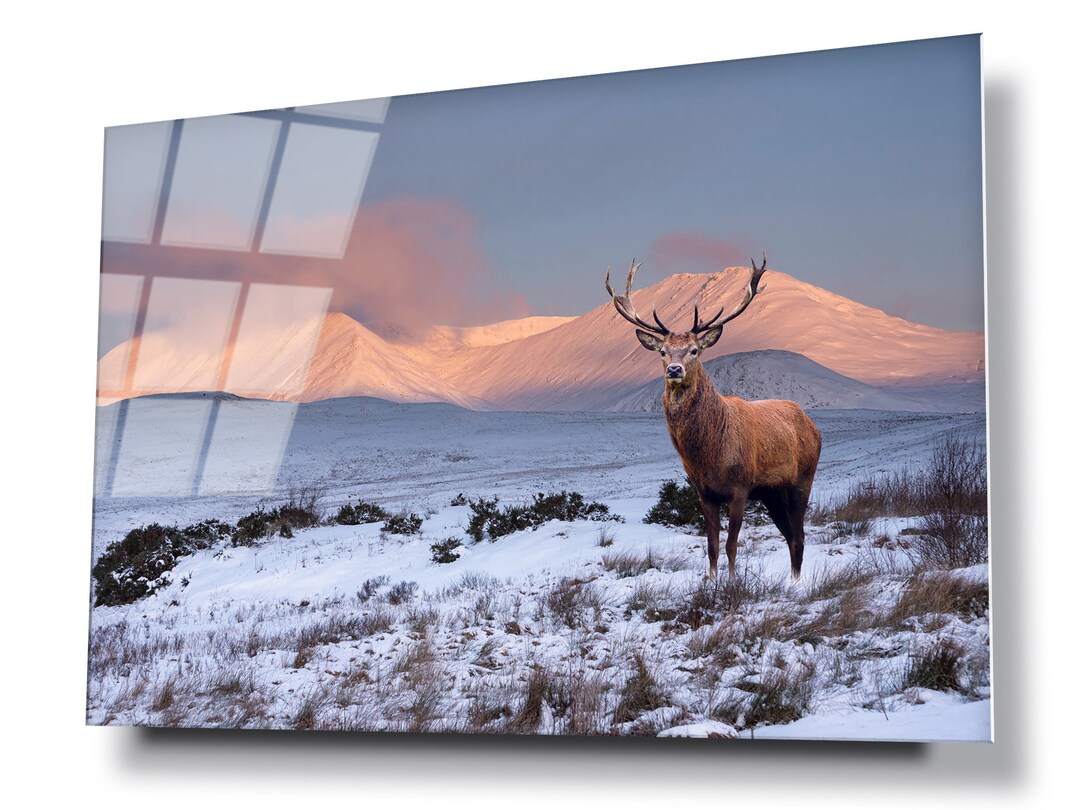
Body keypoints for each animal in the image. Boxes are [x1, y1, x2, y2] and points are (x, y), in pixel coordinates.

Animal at [606, 256, 821, 581]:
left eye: (694, 349)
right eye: (663, 351)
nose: (675, 370)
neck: (710, 455)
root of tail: (813, 425)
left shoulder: (740, 487)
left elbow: (732, 545)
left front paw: (732, 582)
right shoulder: (704, 492)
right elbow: (712, 546)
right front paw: (712, 580)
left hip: (802, 479)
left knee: (799, 535)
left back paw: (796, 582)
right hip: (771, 494)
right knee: (789, 534)